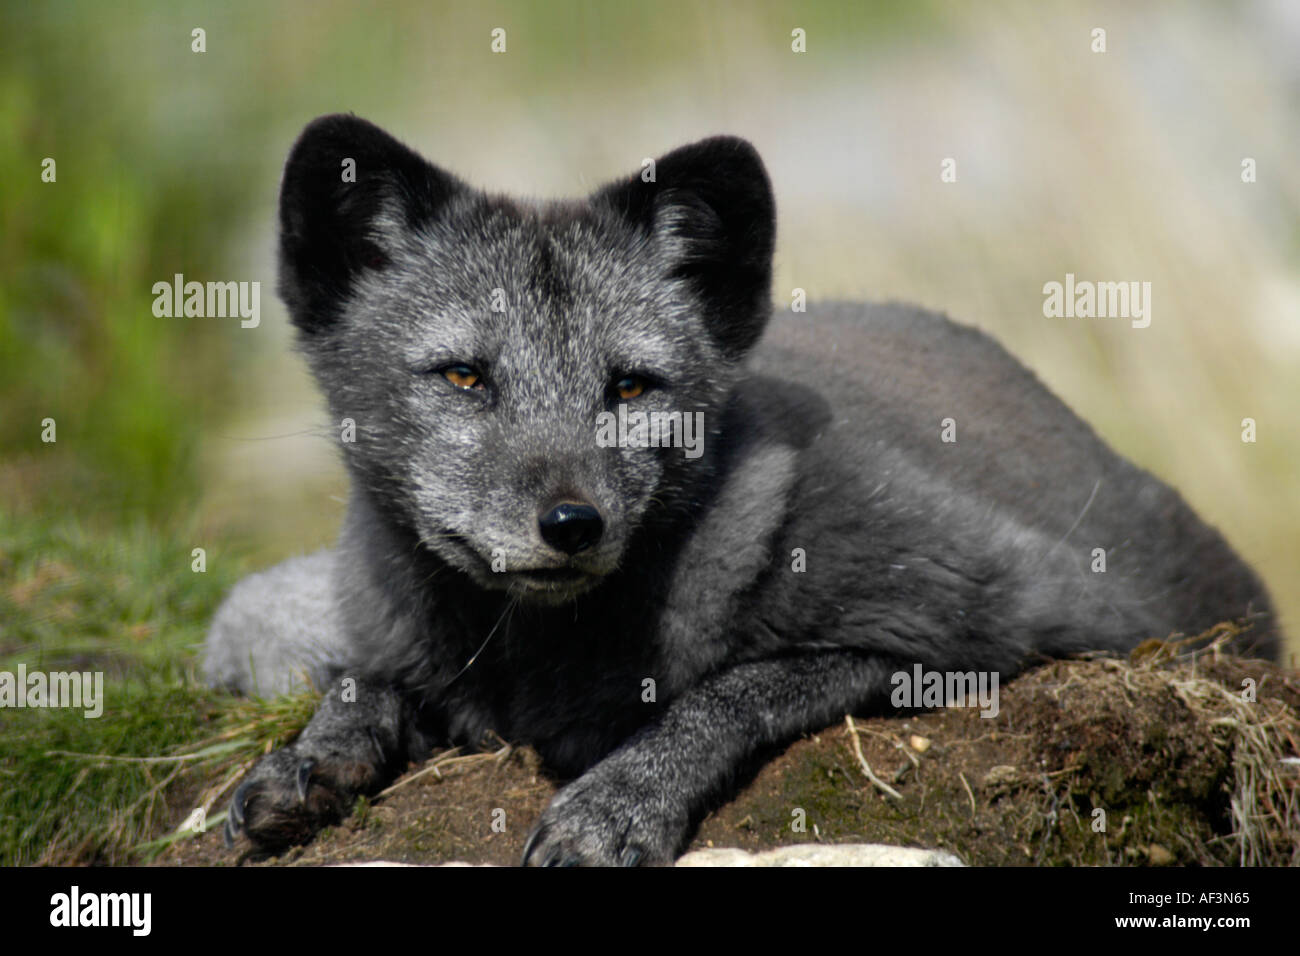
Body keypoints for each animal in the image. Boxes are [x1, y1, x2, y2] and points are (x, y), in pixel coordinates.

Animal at [207, 113, 1278, 866]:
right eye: (465, 376)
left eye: (632, 387)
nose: (571, 525)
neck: (534, 662)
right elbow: (365, 677)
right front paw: (309, 758)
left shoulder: (994, 624)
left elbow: (731, 688)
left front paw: (616, 802)